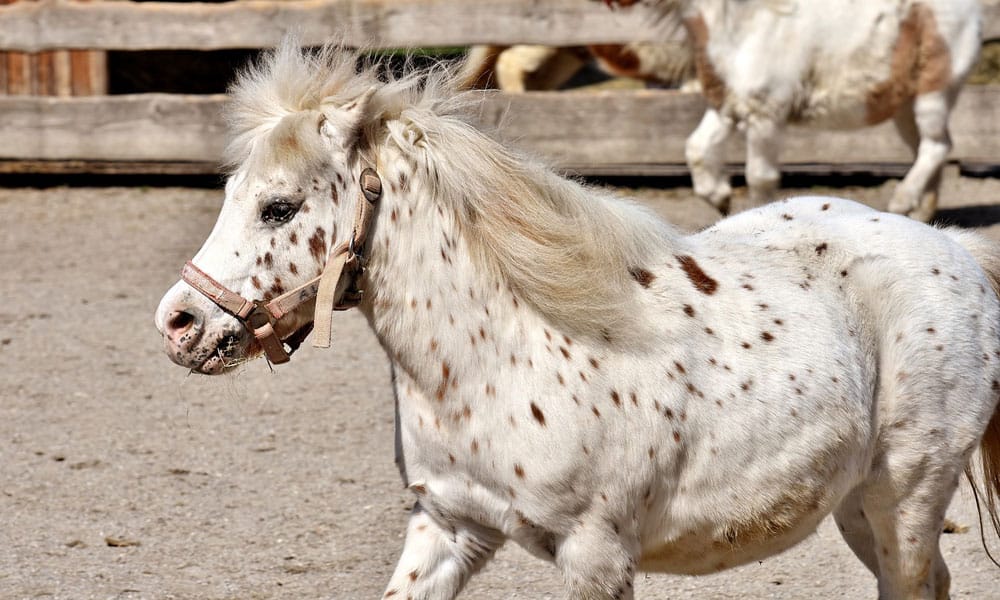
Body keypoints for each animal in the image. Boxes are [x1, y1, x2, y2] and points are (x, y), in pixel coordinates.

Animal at [155, 41, 1000, 599]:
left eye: (278, 206)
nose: (179, 323)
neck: (498, 355)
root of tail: (955, 250)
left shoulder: (596, 558)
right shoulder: (449, 525)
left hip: (907, 498)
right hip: (859, 505)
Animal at [606, 0, 982, 221]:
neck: (743, 25)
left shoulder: (766, 116)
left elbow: (760, 177)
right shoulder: (727, 107)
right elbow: (695, 150)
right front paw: (721, 198)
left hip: (933, 93)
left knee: (937, 146)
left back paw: (901, 202)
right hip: (904, 107)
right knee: (927, 150)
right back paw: (920, 216)